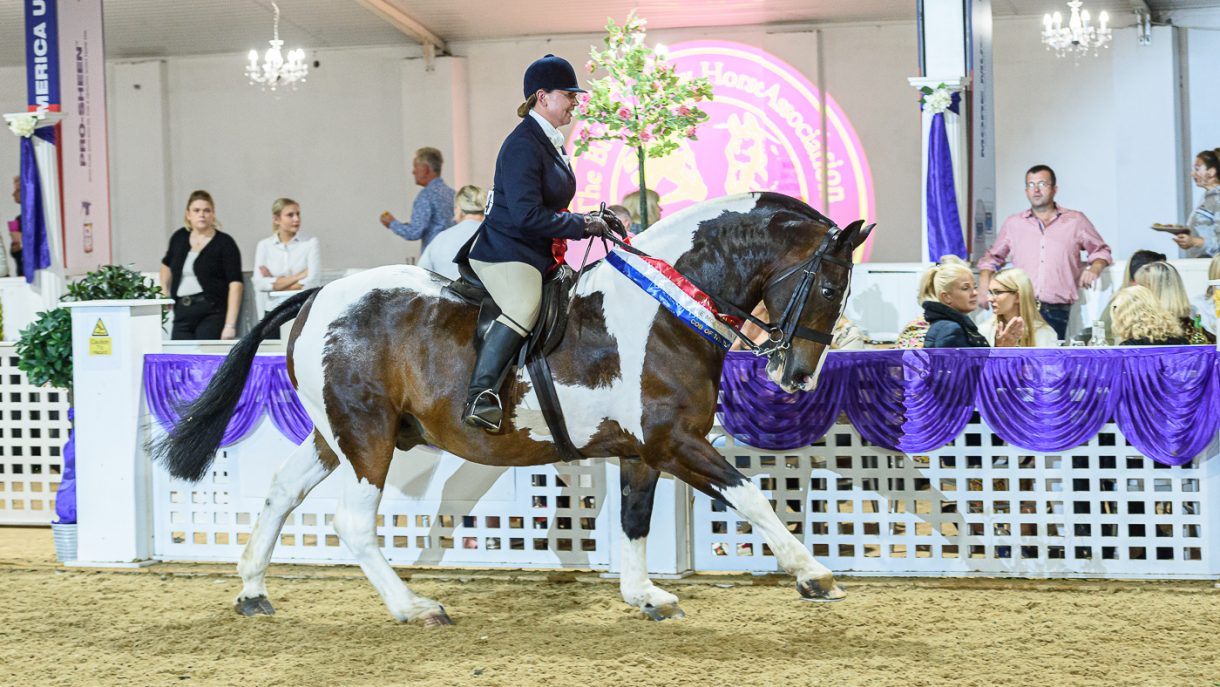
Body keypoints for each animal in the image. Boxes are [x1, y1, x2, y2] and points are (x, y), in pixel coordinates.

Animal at [154, 192, 872, 626]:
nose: (797, 375)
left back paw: (253, 589)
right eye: (830, 285)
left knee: (281, 491)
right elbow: (751, 495)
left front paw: (644, 594)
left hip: (338, 435)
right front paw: (814, 573)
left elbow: (635, 519)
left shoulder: (643, 449)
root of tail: (317, 296)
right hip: (367, 435)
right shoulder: (675, 440)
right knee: (354, 521)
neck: (665, 311)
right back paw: (414, 605)